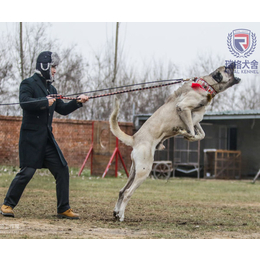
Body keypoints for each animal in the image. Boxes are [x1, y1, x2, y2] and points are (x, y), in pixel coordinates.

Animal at [109, 62, 240, 220]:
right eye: (226, 69)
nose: (233, 63)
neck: (206, 85)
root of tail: (135, 138)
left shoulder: (196, 118)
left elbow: (201, 134)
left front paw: (189, 135)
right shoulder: (184, 108)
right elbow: (191, 131)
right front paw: (184, 133)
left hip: (135, 170)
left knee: (122, 191)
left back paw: (116, 212)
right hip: (144, 170)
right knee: (128, 192)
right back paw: (121, 216)